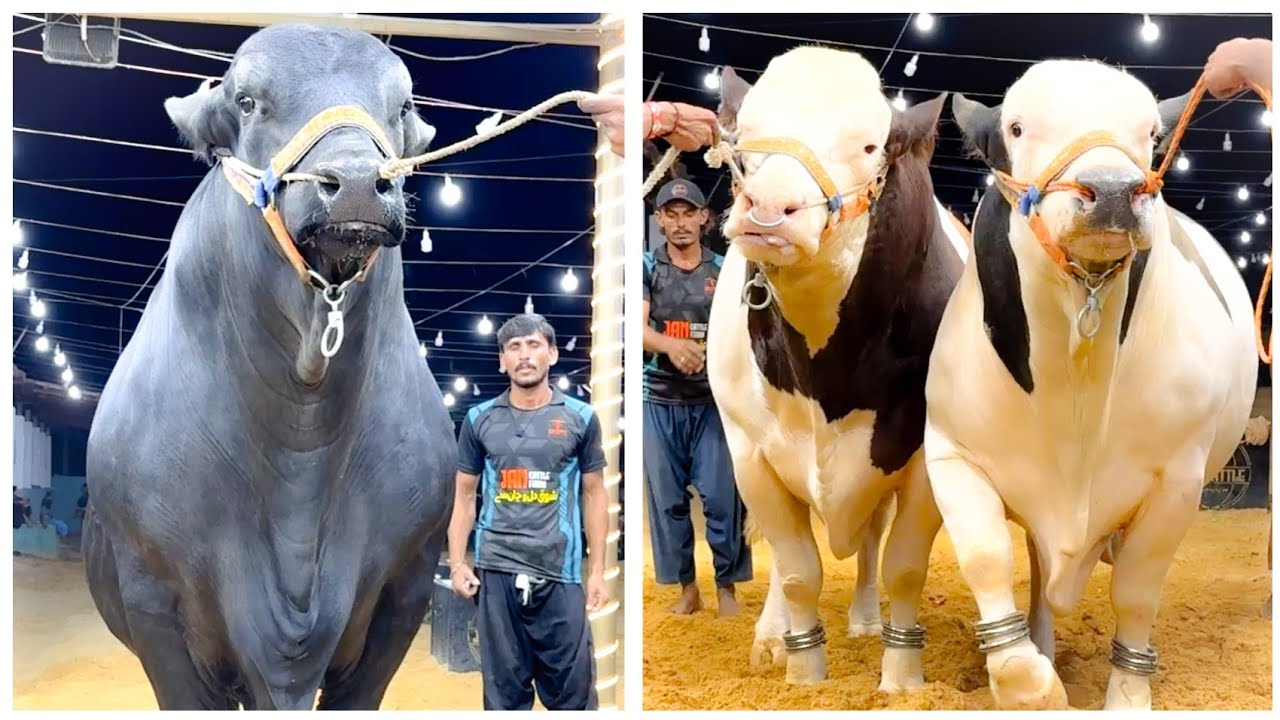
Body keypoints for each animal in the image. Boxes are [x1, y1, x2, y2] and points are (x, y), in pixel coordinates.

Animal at [706, 46, 968, 691]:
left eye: (871, 146)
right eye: (744, 133)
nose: (768, 208)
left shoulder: (923, 457)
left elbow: (903, 566)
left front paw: (902, 679)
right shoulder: (749, 454)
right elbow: (798, 570)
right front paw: (803, 671)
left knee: (870, 543)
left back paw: (867, 619)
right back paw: (772, 635)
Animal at [925, 59, 1257, 710]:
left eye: (1152, 134)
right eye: (1018, 127)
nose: (1113, 190)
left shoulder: (1178, 481)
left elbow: (1135, 591)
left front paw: (1127, 694)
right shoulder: (951, 451)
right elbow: (986, 558)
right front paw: (1034, 683)